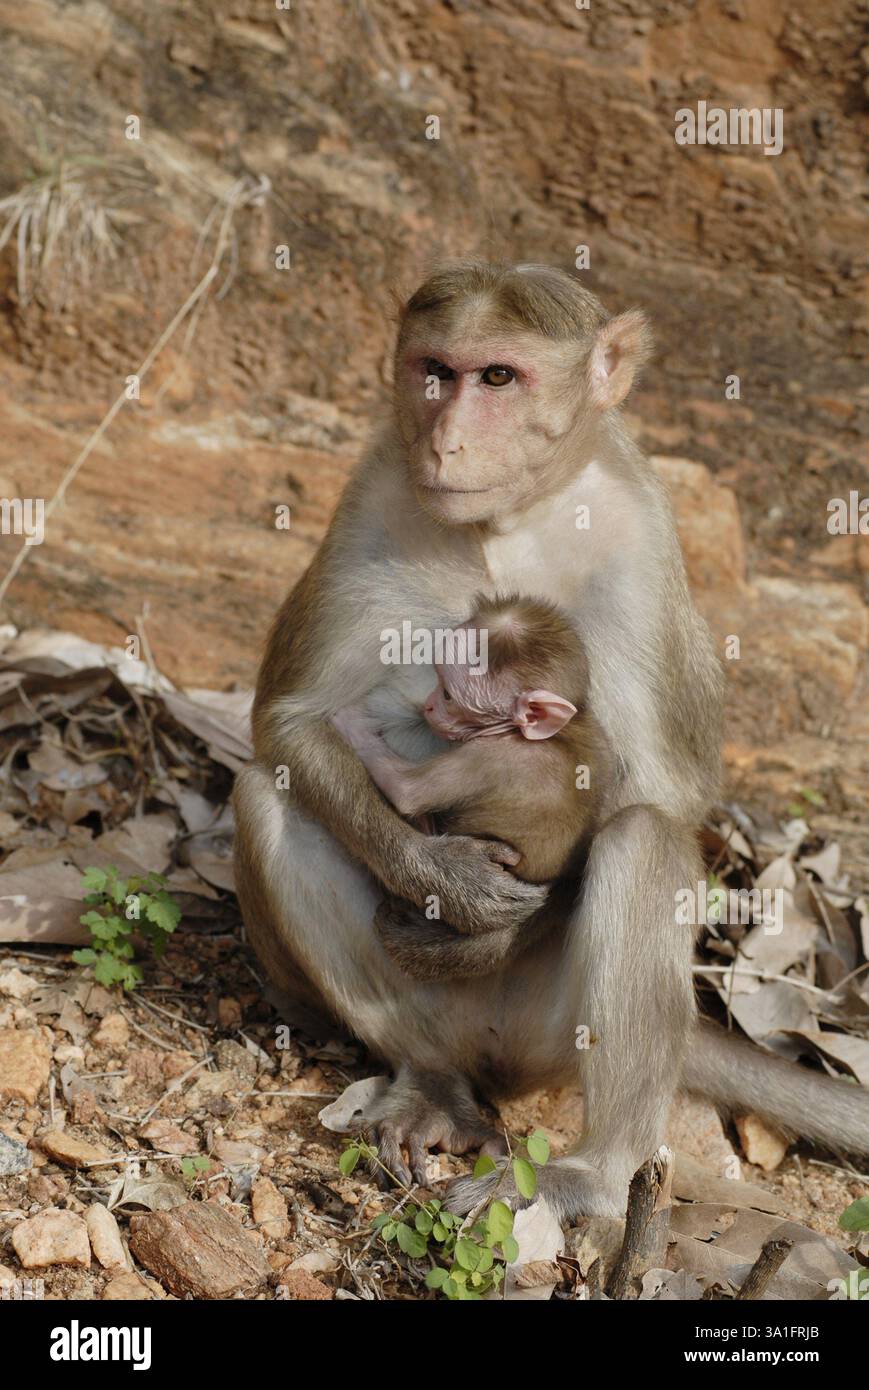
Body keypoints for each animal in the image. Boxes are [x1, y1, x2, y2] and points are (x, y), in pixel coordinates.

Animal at [233, 261, 869, 1210]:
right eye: (435, 370)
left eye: (499, 377)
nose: (445, 442)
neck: (509, 522)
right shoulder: (371, 495)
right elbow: (289, 721)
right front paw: (446, 880)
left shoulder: (640, 539)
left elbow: (660, 793)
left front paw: (493, 921)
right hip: (435, 1023)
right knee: (270, 798)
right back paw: (430, 1083)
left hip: (547, 1036)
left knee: (643, 841)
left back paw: (591, 1177)